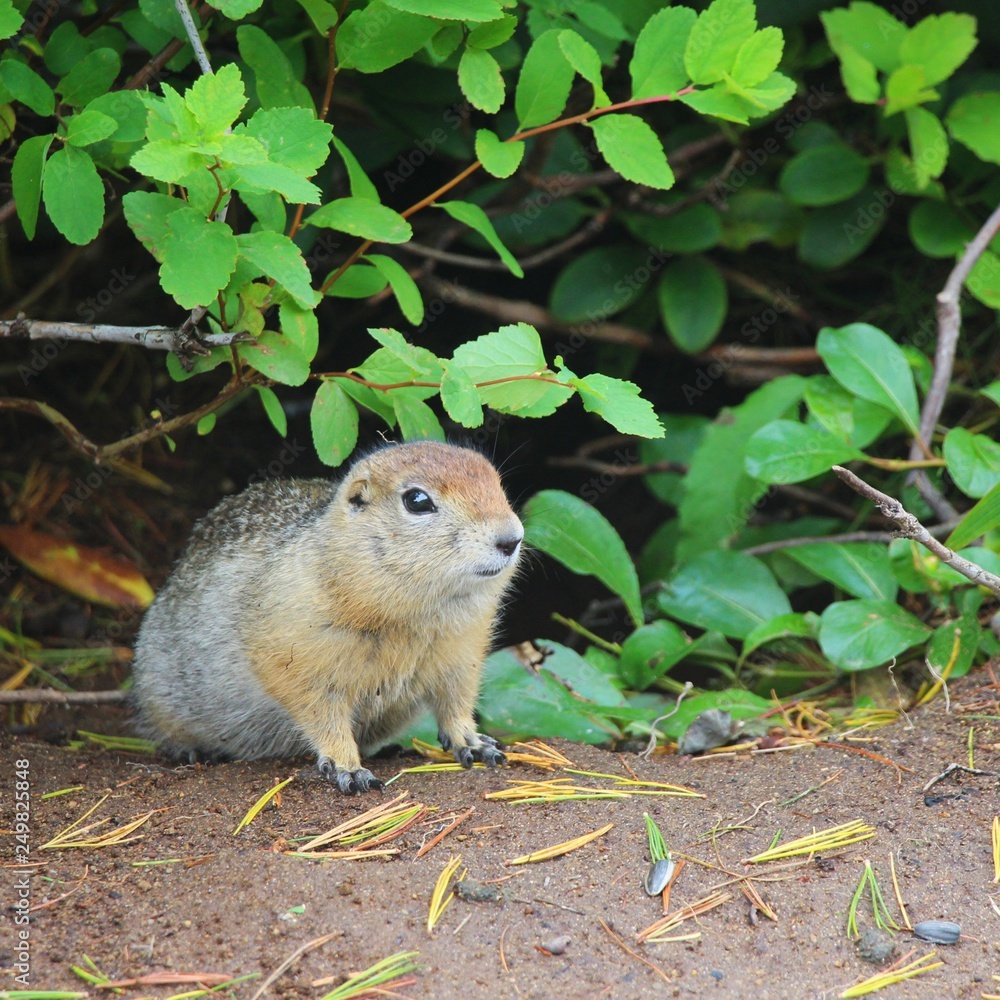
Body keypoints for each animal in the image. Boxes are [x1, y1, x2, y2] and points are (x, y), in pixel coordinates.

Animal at [131, 440, 524, 794]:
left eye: (495, 481)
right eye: (417, 500)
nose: (512, 538)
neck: (423, 611)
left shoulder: (463, 652)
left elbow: (456, 701)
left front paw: (473, 741)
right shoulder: (300, 661)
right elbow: (323, 715)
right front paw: (347, 767)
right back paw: (191, 749)